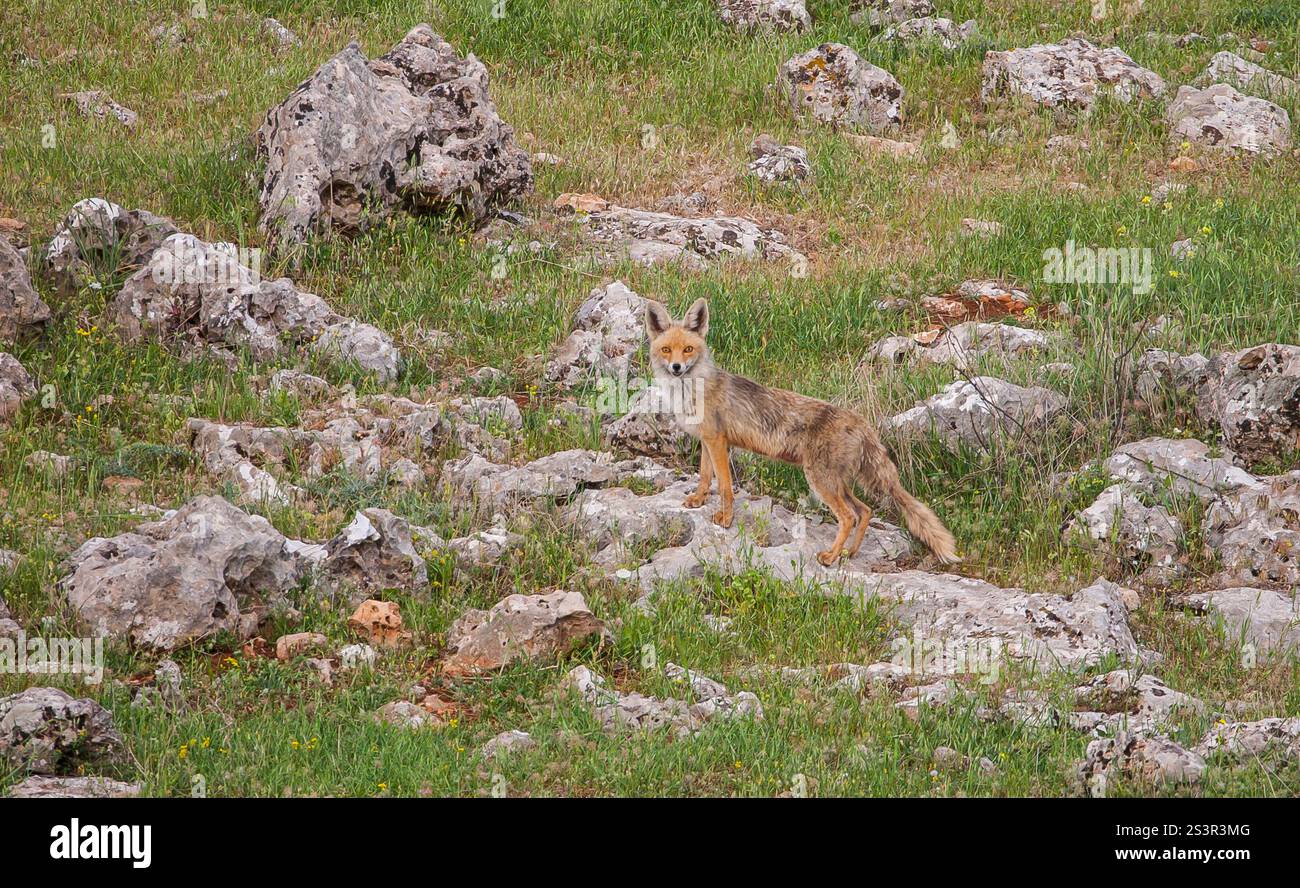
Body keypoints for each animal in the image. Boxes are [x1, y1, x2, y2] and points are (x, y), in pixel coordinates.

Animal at [644, 297, 960, 566]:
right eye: (666, 350)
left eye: (688, 349)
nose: (676, 367)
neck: (691, 392)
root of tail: (860, 422)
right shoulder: (708, 441)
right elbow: (704, 477)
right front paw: (698, 500)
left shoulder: (718, 441)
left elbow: (724, 486)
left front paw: (725, 518)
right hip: (837, 483)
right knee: (865, 511)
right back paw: (850, 553)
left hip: (821, 481)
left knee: (848, 517)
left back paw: (831, 557)